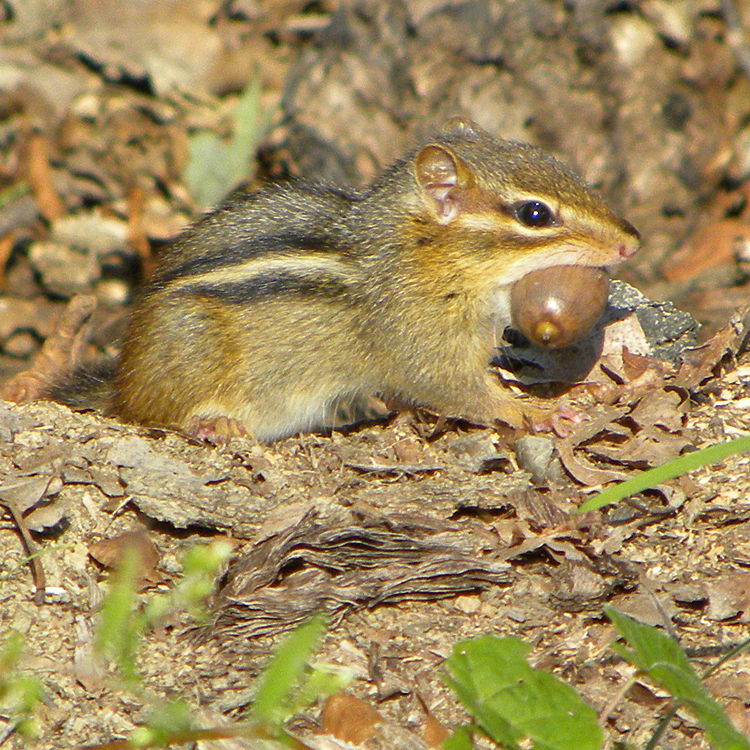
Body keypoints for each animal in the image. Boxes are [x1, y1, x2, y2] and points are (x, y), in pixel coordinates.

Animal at [48, 119, 639, 442]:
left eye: (557, 162)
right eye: (535, 214)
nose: (631, 241)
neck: (426, 257)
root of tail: (123, 379)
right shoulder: (423, 345)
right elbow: (462, 392)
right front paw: (535, 410)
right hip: (190, 350)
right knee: (152, 415)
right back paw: (210, 423)